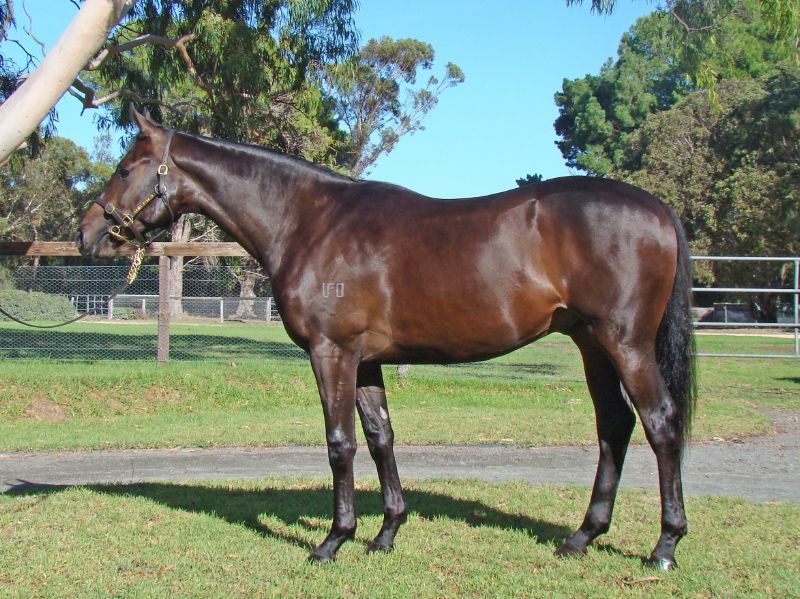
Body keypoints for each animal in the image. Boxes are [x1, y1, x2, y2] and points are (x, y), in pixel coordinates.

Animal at [79, 107, 696, 570]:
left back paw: (664, 546)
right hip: (592, 344)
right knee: (613, 426)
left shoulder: (332, 352)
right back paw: (581, 537)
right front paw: (386, 533)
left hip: (625, 343)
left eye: (128, 167)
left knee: (660, 423)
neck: (308, 221)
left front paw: (333, 540)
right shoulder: (366, 360)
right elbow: (380, 438)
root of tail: (657, 208)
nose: (87, 234)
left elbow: (340, 443)